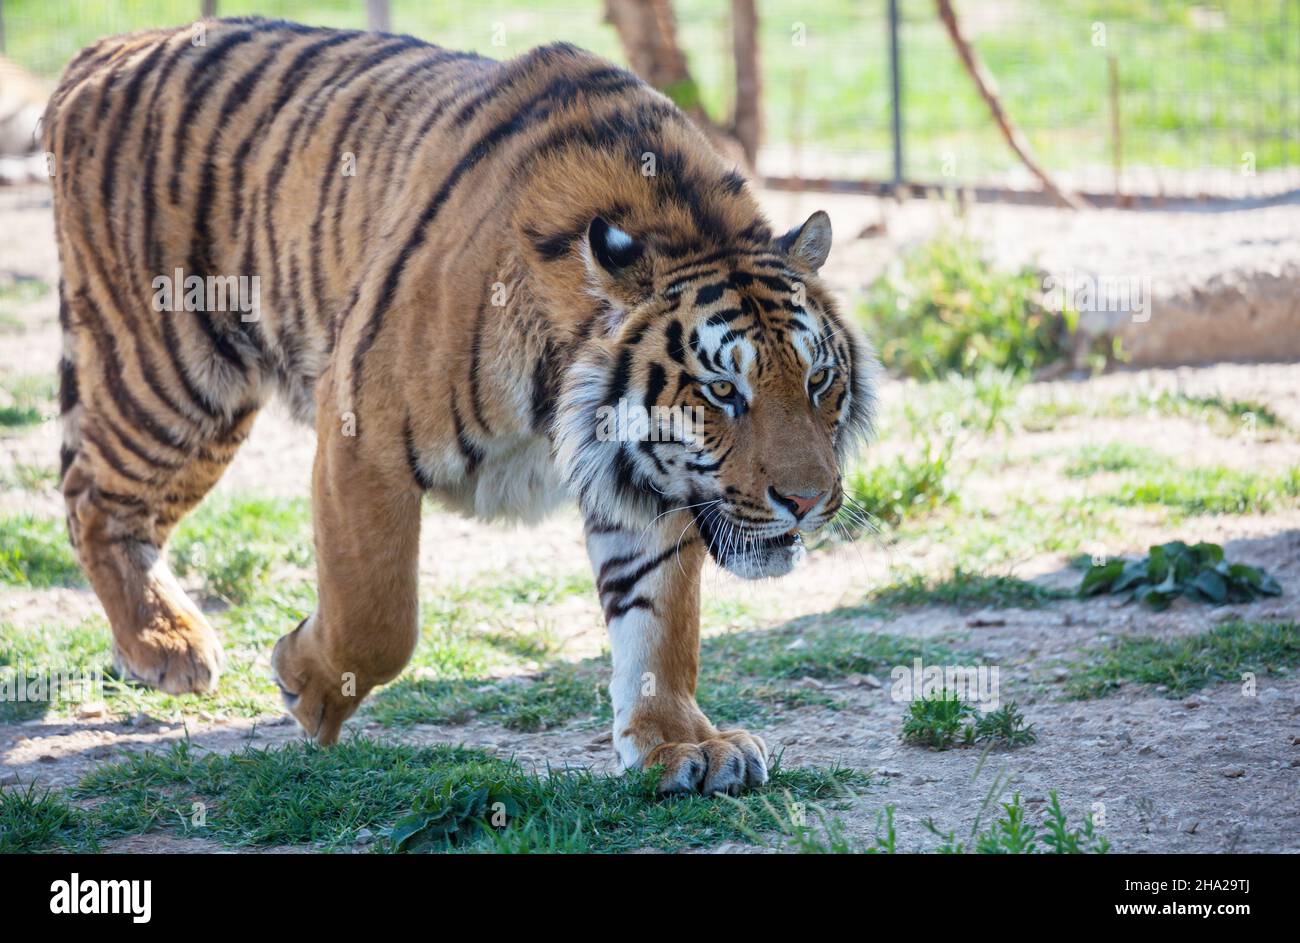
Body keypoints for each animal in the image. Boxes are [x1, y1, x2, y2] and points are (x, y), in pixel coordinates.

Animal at [44, 17, 875, 796]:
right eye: (722, 390)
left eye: (817, 381)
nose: (809, 501)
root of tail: (105, 49)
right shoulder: (363, 432)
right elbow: (378, 615)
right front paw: (304, 683)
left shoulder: (649, 479)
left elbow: (661, 623)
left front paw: (679, 745)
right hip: (172, 375)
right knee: (92, 499)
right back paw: (167, 644)